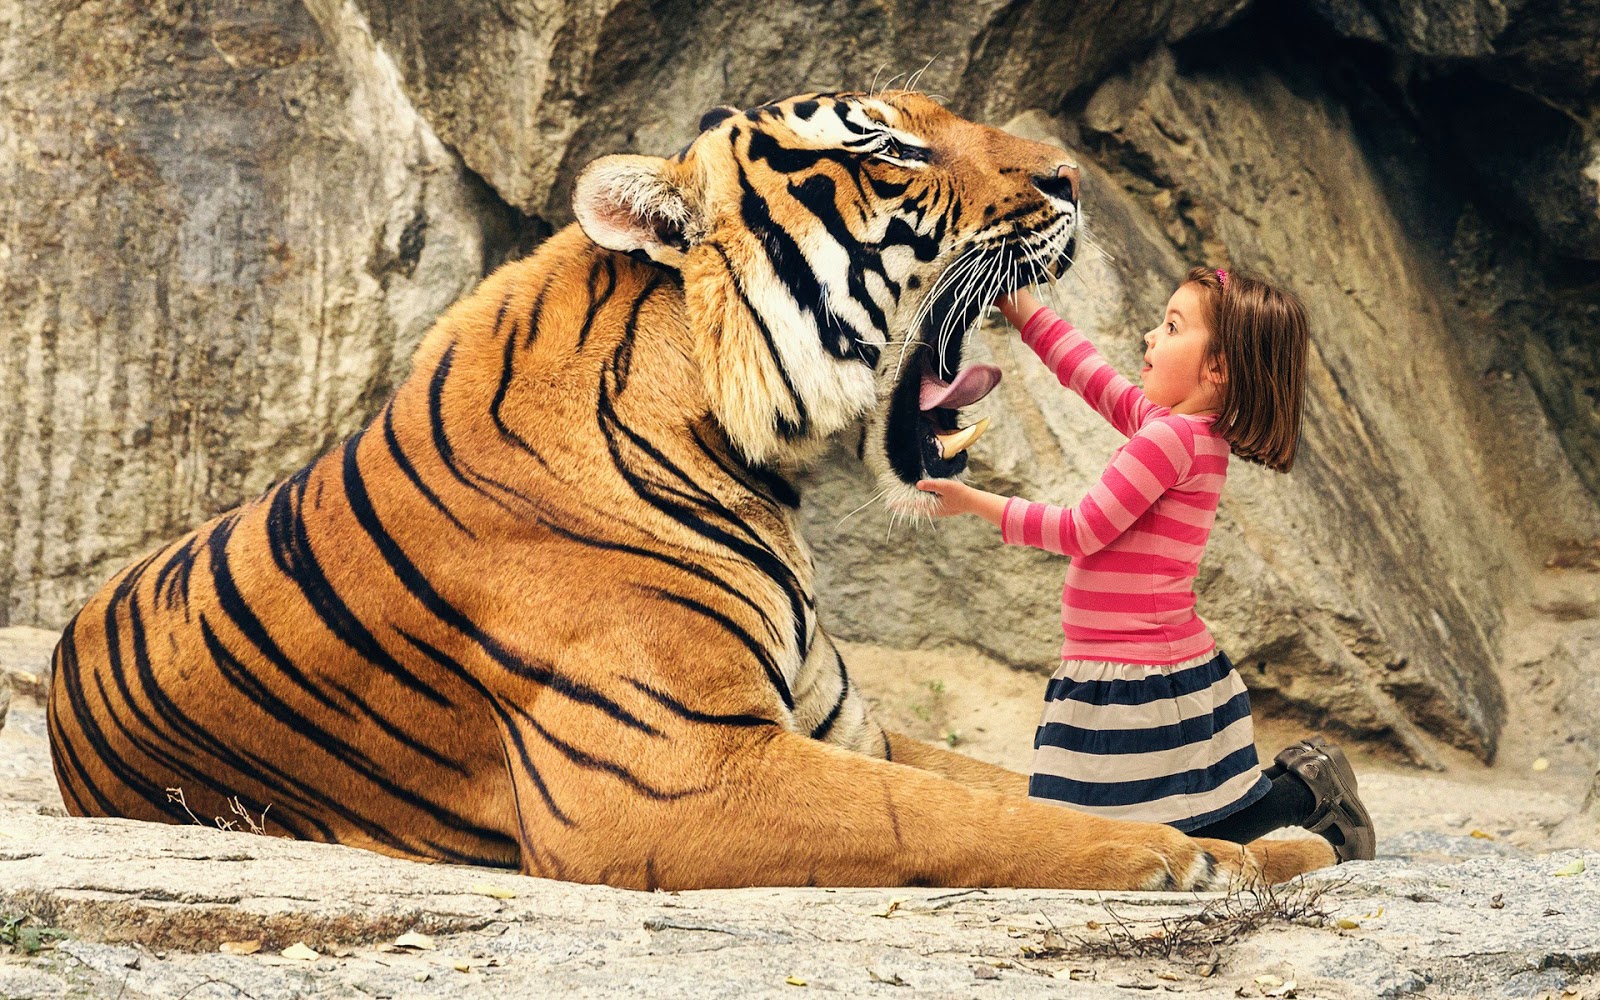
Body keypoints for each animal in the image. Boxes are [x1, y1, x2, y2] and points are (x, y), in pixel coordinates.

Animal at [48, 90, 1333, 891]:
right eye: (891, 151)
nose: (1069, 179)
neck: (751, 459)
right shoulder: (675, 772)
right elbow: (976, 813)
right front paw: (1214, 856)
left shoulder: (841, 724)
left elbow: (1017, 782)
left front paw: (1283, 840)